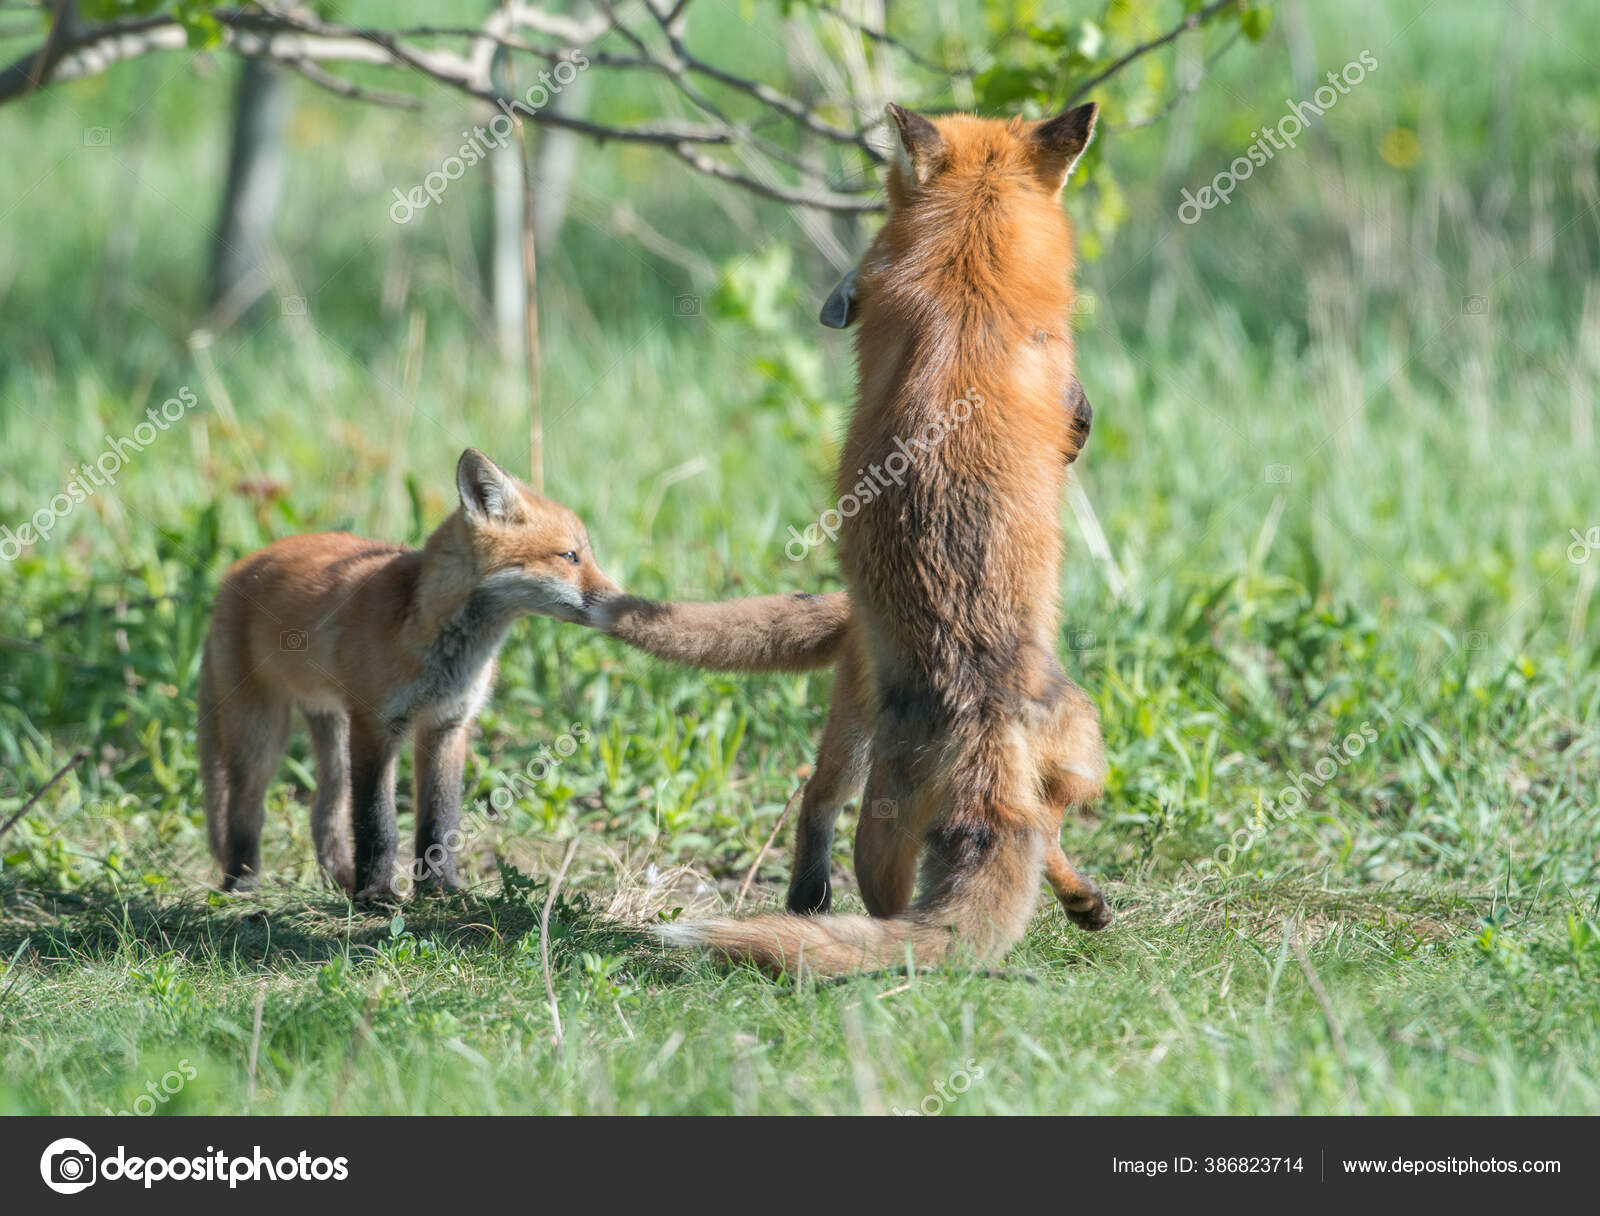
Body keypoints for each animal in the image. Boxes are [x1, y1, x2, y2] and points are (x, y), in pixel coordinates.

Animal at [197, 448, 617, 899]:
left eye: (586, 555)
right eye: (570, 556)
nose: (620, 601)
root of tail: (237, 570)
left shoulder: (448, 724)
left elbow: (440, 820)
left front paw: (440, 888)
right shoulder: (376, 725)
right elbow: (376, 822)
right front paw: (378, 895)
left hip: (334, 734)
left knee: (324, 815)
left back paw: (340, 881)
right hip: (261, 735)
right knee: (245, 807)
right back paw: (242, 882)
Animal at [593, 101, 1112, 976]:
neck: (973, 260)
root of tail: (982, 725)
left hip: (1011, 757)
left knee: (979, 832)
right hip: (946, 781)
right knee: (918, 856)